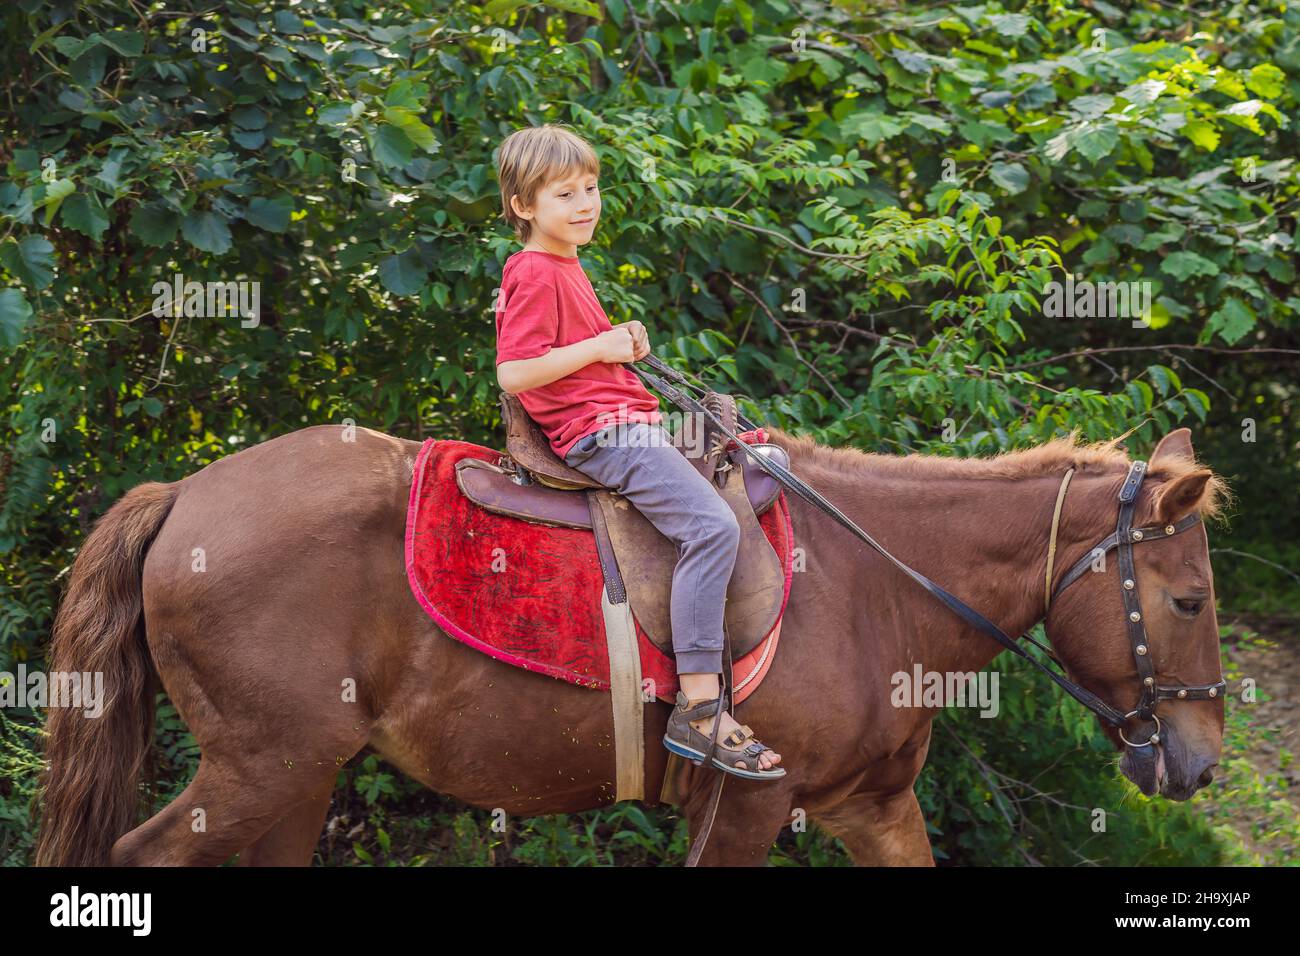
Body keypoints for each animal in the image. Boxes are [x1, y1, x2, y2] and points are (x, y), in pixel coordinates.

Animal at [33, 421, 1227, 866]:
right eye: (1186, 602)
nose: (1203, 761)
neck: (877, 587)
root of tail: (184, 493)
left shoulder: (871, 805)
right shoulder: (745, 805)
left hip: (291, 776)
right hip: (262, 767)